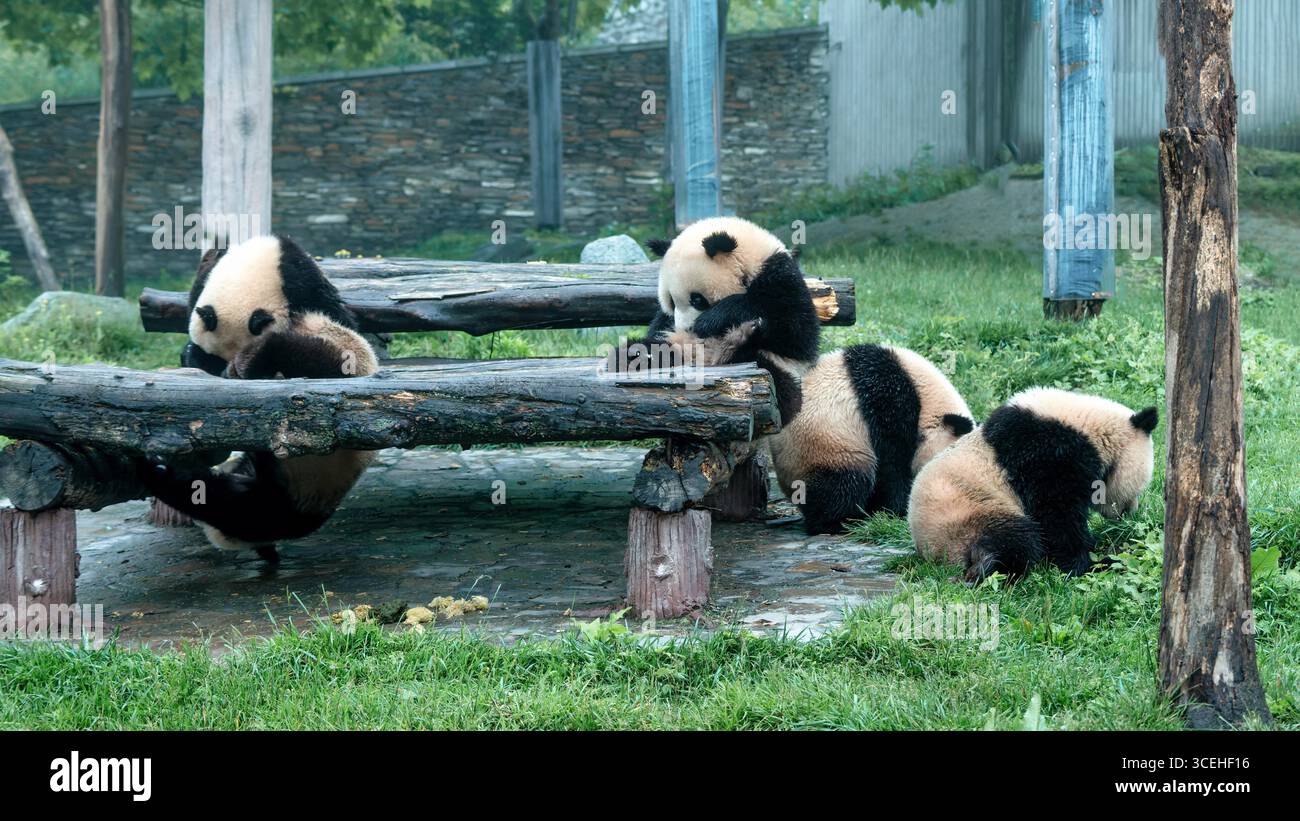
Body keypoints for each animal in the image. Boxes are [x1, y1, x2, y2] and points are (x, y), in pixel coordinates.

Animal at [142, 234, 379, 560]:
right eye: (212, 359)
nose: (228, 372)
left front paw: (248, 363)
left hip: (297, 492)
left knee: (236, 507)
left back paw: (163, 472)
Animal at [767, 344, 975, 534]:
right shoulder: (888, 399)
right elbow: (891, 464)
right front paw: (898, 510)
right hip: (824, 450)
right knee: (844, 485)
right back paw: (838, 523)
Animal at [908, 387, 1158, 583]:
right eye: (1138, 489)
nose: (1129, 512)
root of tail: (934, 554)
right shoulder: (1047, 454)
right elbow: (1056, 515)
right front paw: (1085, 563)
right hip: (968, 511)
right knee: (1015, 538)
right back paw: (989, 565)